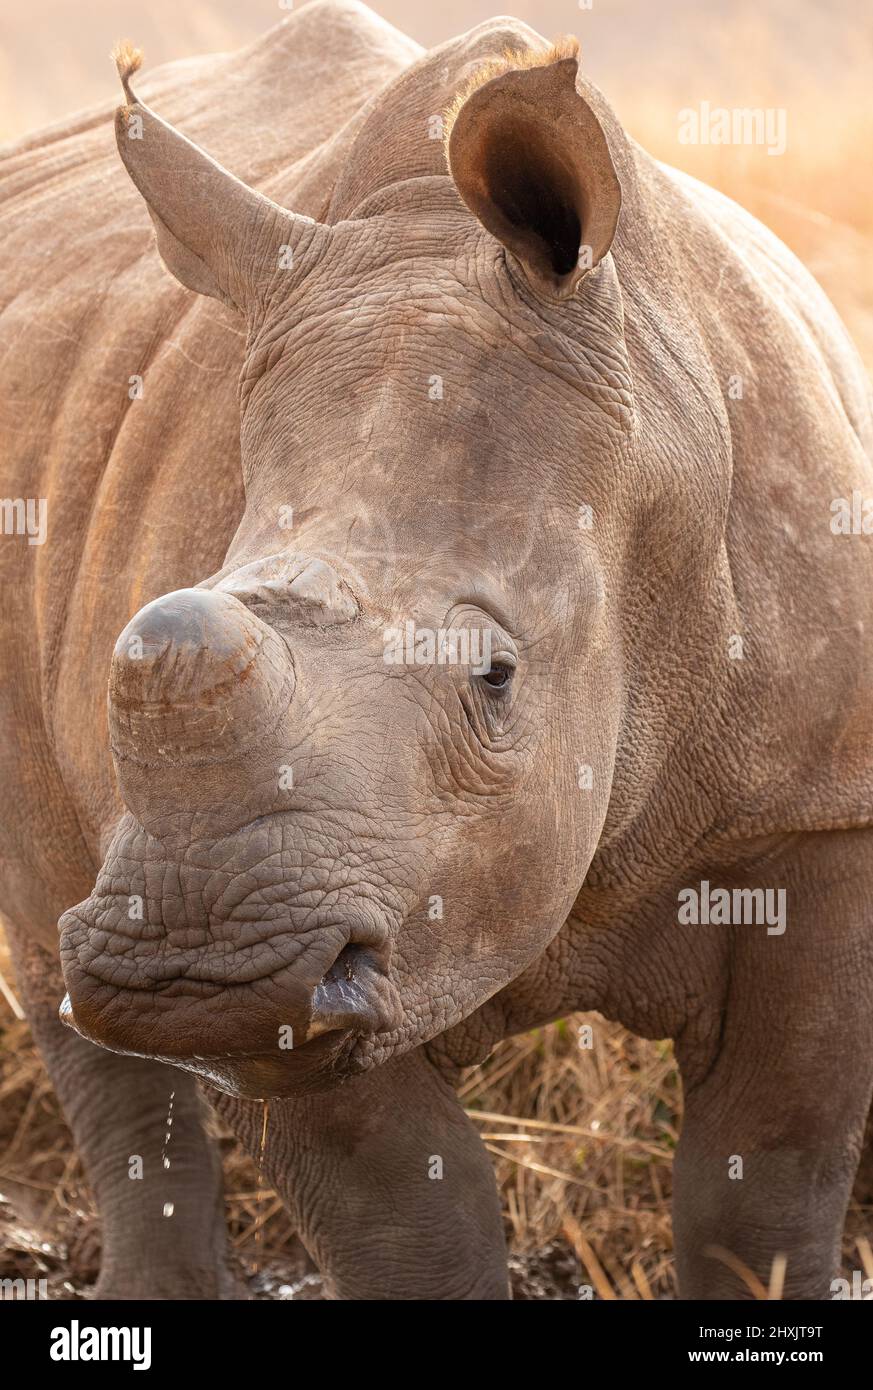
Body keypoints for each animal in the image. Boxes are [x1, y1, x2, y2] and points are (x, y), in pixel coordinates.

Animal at [1, 0, 872, 1301]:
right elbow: (413, 1211)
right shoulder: (293, 917)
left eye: (495, 675)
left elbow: (768, 1170)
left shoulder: (817, 810)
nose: (192, 973)